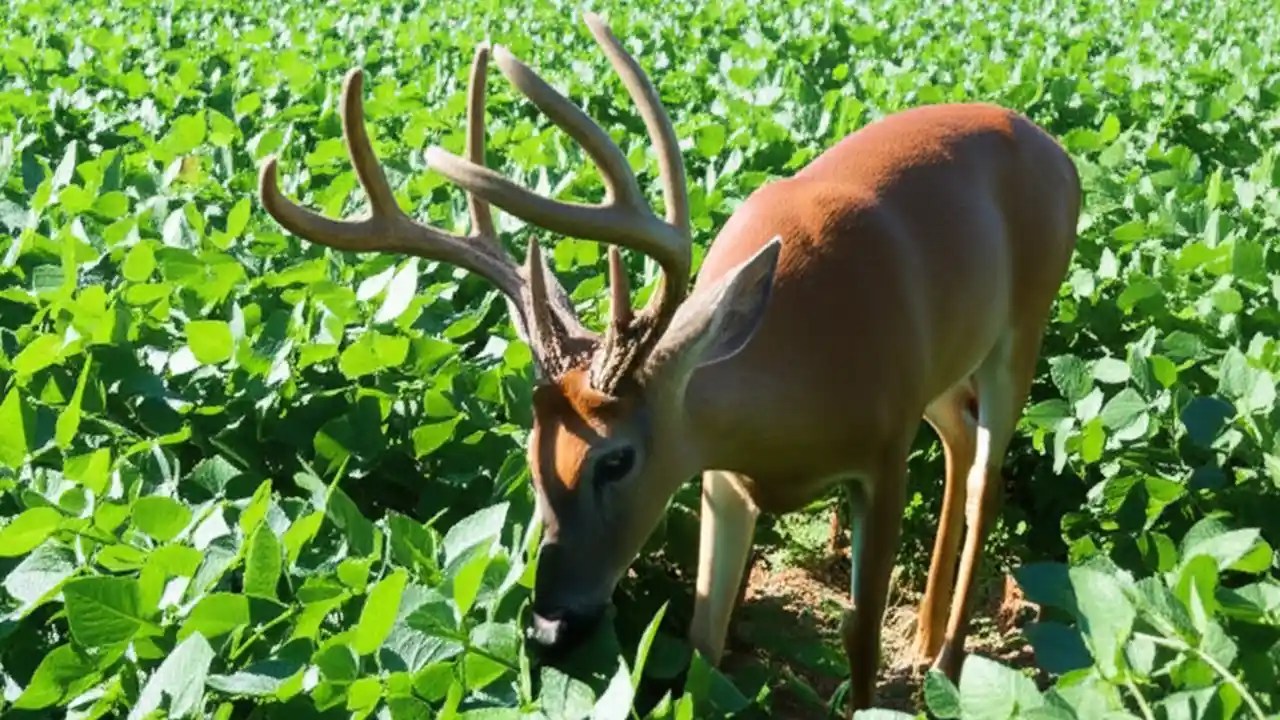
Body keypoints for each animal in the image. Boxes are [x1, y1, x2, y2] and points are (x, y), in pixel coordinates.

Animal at [257, 12, 1080, 714]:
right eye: (529, 454)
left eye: (616, 459)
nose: (549, 628)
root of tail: (1052, 145)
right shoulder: (719, 477)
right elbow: (703, 639)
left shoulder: (883, 448)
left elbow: (857, 635)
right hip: (950, 360)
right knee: (961, 436)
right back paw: (927, 633)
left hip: (1026, 318)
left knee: (986, 475)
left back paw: (948, 660)